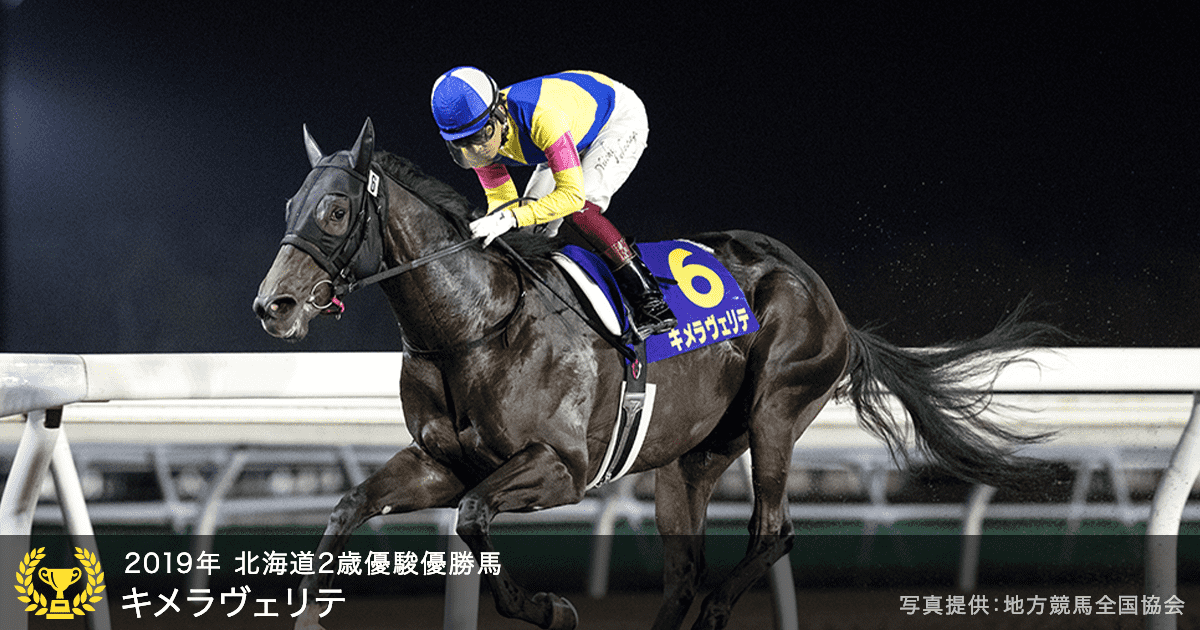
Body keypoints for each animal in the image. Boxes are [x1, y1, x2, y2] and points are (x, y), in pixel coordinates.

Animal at [253, 118, 1059, 630]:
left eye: (335, 209)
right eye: (289, 204)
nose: (273, 306)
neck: (474, 327)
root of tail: (826, 299)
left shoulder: (563, 467)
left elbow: (475, 517)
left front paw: (553, 609)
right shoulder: (441, 462)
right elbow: (348, 507)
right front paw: (308, 614)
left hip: (776, 407)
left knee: (773, 530)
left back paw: (718, 611)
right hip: (688, 458)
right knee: (685, 567)